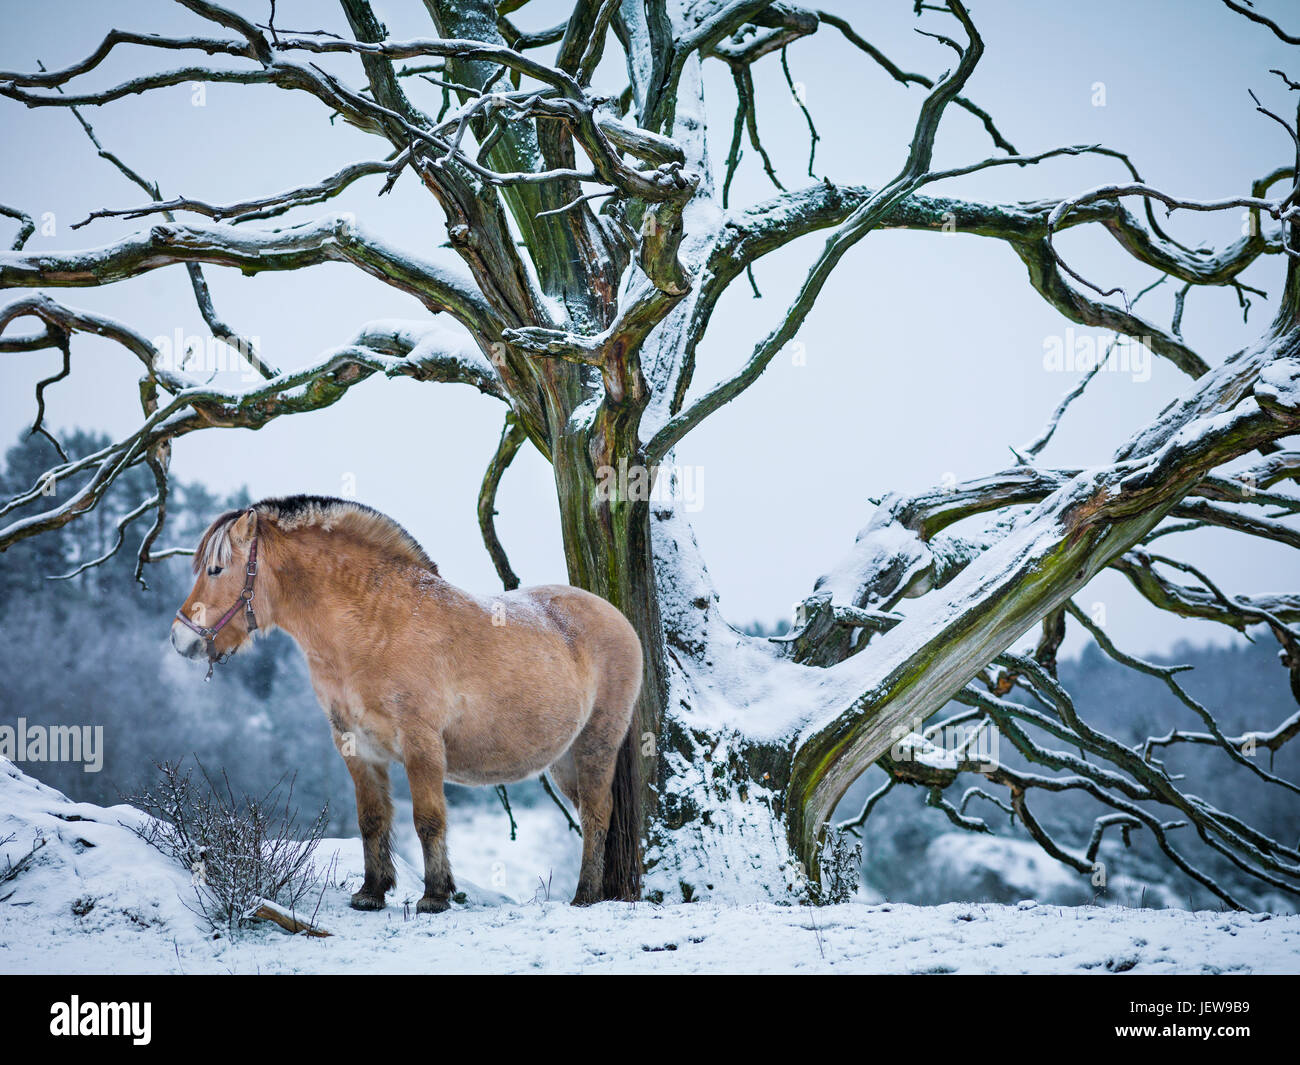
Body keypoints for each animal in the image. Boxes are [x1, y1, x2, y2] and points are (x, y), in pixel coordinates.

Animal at [170, 494, 643, 911]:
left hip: (596, 745)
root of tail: (617, 617)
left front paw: (434, 896)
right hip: (564, 759)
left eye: (216, 569)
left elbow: (428, 819)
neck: (377, 624)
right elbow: (372, 819)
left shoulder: (421, 744)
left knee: (598, 813)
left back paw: (584, 896)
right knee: (586, 812)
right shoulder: (356, 746)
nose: (180, 639)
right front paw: (372, 892)